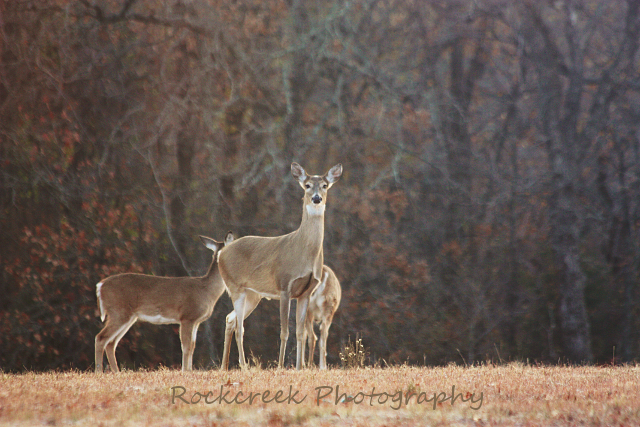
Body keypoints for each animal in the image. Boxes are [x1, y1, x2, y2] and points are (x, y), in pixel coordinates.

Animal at [94, 232, 234, 373]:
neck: (206, 290)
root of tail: (100, 285)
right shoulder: (187, 316)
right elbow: (186, 346)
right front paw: (185, 371)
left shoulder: (196, 321)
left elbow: (192, 346)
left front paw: (189, 370)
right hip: (118, 312)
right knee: (101, 338)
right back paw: (99, 371)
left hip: (128, 316)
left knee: (111, 343)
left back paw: (116, 372)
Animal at [218, 162, 342, 370]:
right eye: (307, 185)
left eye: (325, 185)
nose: (317, 198)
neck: (304, 253)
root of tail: (221, 253)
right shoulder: (285, 286)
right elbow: (284, 332)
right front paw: (280, 366)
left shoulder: (306, 292)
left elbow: (301, 332)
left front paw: (300, 367)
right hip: (235, 286)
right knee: (239, 327)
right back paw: (244, 366)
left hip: (254, 294)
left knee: (230, 319)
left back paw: (225, 366)